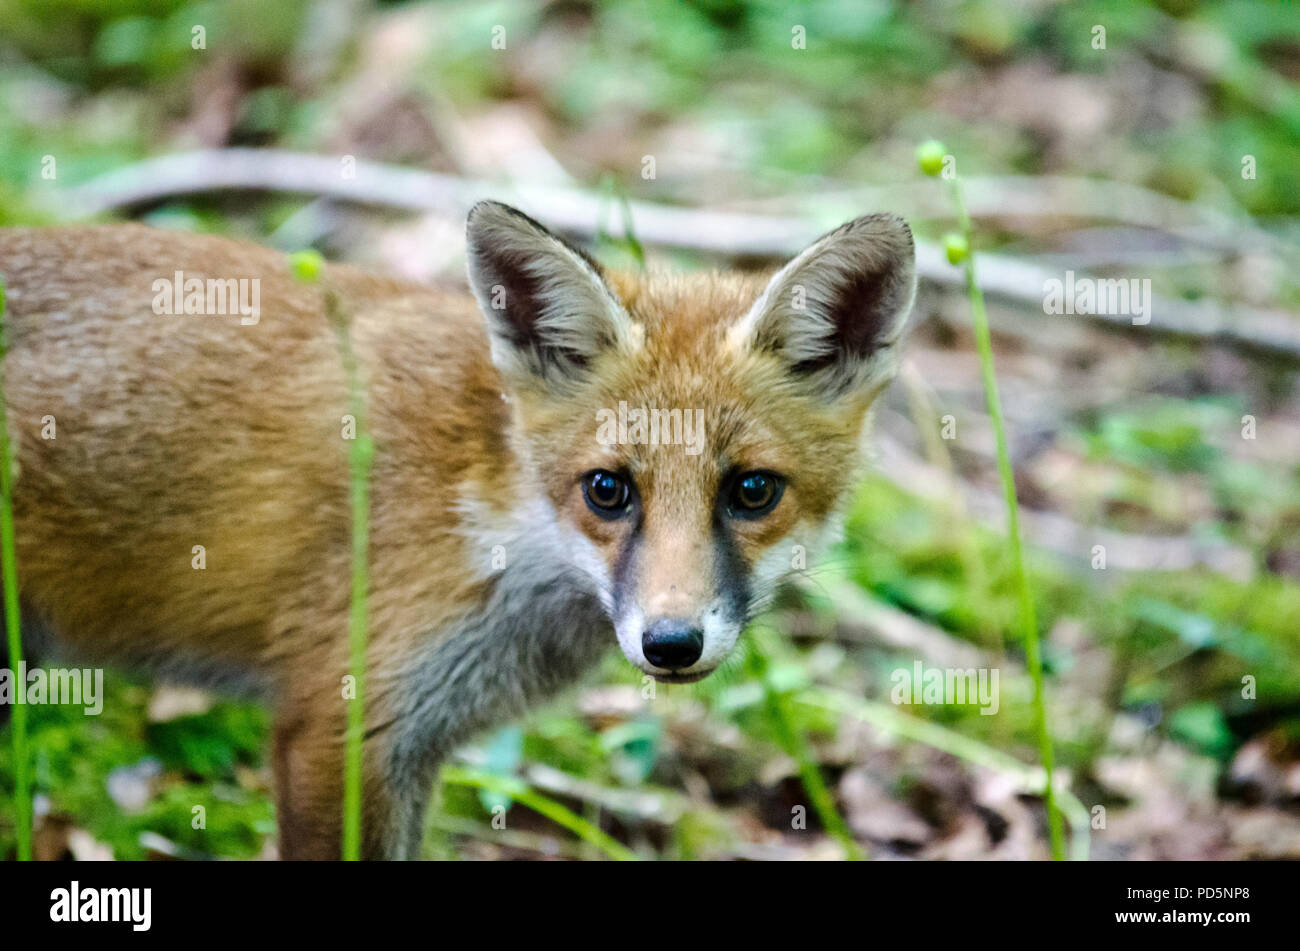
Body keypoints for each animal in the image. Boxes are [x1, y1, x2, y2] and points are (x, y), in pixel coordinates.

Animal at [0, 202, 915, 859]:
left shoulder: (414, 748)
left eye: (753, 490)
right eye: (608, 490)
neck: (491, 516)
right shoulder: (341, 724)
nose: (670, 642)